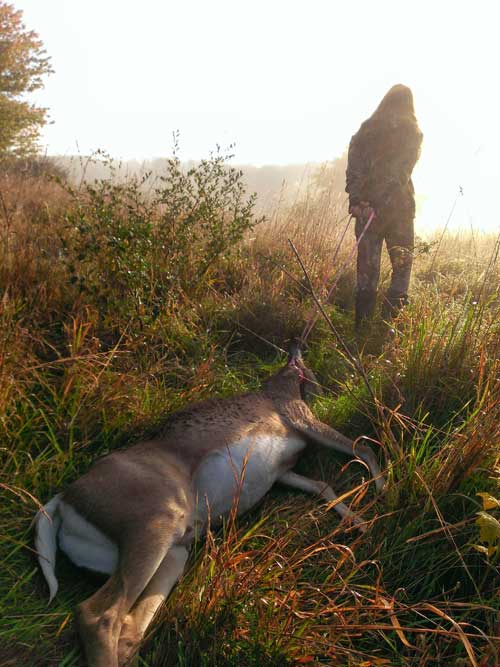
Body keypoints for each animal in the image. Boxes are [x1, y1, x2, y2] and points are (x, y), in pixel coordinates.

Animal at [34, 345, 385, 667]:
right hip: (156, 520)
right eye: (306, 366)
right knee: (97, 616)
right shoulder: (300, 417)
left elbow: (323, 486)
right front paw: (385, 486)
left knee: (129, 627)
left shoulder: (283, 472)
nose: (299, 352)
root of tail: (63, 500)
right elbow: (363, 448)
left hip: (174, 550)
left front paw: (359, 522)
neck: (279, 383)